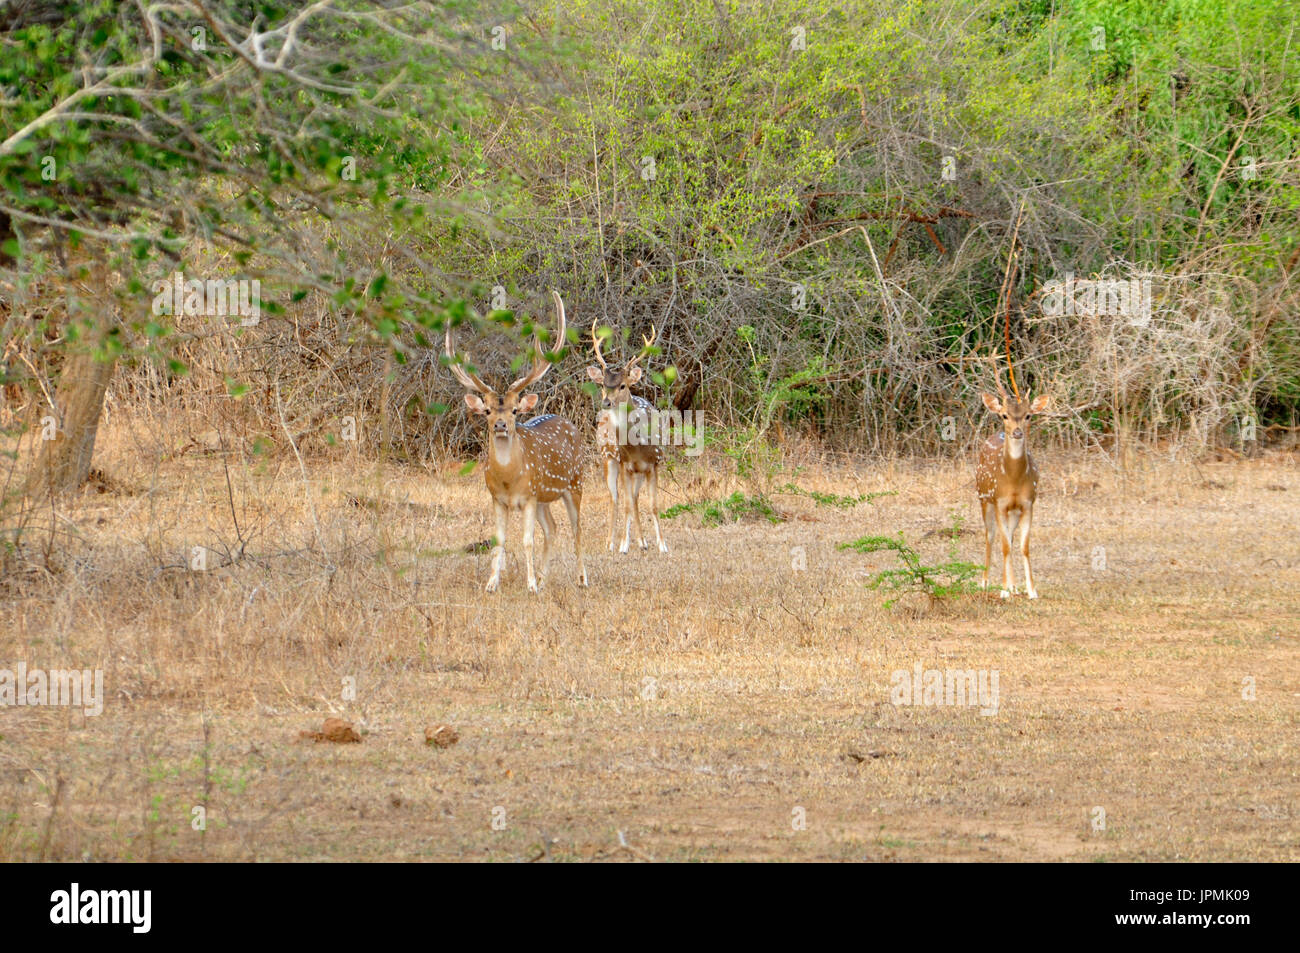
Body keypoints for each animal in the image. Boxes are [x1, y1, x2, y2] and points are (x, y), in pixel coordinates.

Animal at [444, 290, 587, 593]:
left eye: (514, 411)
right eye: (487, 410)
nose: (500, 425)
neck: (510, 480)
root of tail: (569, 423)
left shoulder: (529, 496)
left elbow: (527, 540)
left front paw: (530, 585)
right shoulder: (497, 498)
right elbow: (499, 541)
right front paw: (491, 584)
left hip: (576, 482)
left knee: (577, 528)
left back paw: (582, 579)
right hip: (545, 496)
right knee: (553, 528)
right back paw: (545, 579)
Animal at [587, 322, 668, 554]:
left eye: (622, 385)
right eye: (603, 384)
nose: (606, 402)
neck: (638, 448)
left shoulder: (654, 463)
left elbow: (652, 504)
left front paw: (661, 545)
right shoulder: (625, 464)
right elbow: (626, 504)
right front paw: (624, 544)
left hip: (636, 471)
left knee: (634, 498)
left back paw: (641, 541)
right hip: (607, 457)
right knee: (615, 498)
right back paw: (611, 542)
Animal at [976, 382, 1050, 599]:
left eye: (1028, 415)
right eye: (1004, 415)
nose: (1017, 432)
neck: (1014, 479)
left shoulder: (1028, 504)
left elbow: (1023, 546)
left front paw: (1031, 590)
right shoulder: (999, 503)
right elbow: (1004, 546)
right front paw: (1003, 590)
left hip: (1013, 511)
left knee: (1009, 536)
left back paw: (1014, 586)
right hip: (983, 498)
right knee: (990, 536)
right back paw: (985, 583)